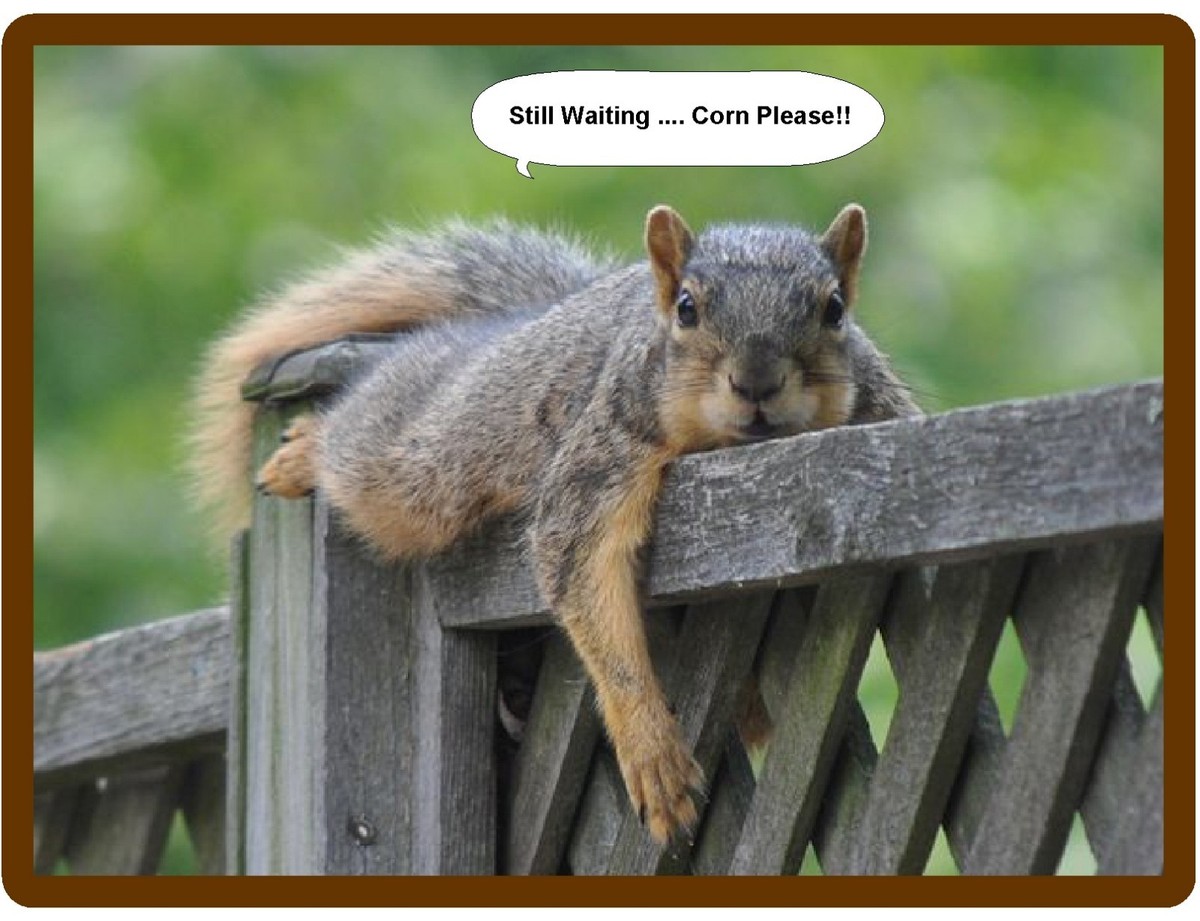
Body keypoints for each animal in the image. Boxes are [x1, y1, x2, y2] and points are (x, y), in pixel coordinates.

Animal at [189, 203, 919, 844]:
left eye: (834, 309)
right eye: (687, 308)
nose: (757, 382)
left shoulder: (879, 408)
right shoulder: (603, 450)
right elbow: (580, 570)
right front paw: (650, 750)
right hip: (424, 458)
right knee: (367, 446)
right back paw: (308, 449)